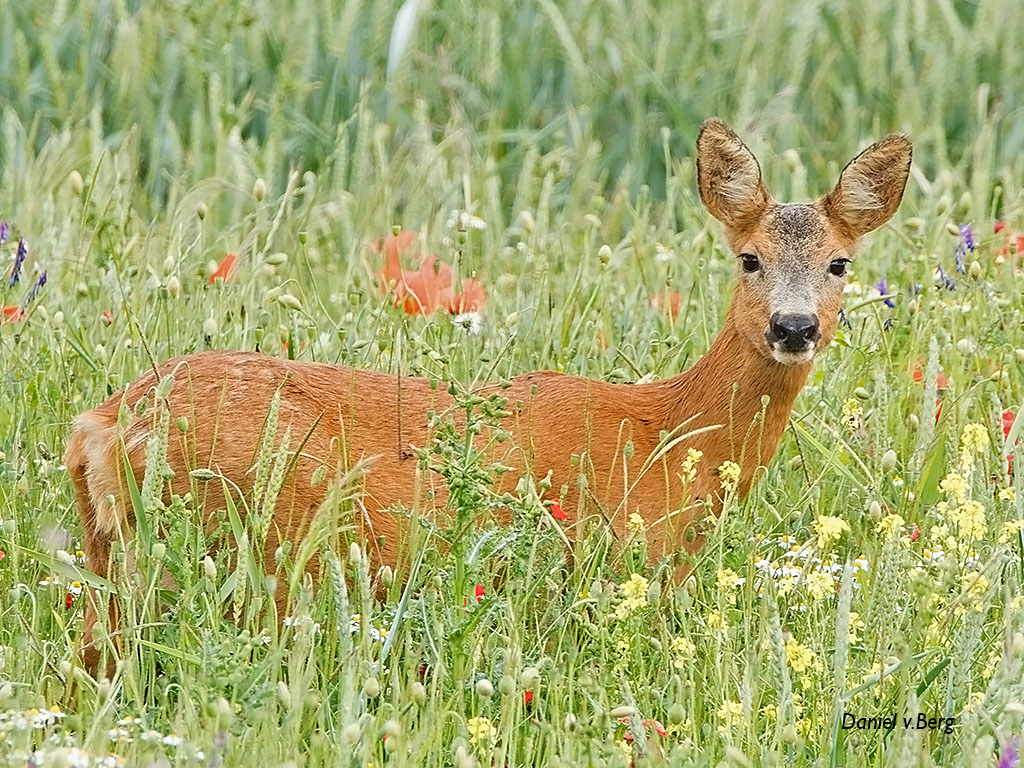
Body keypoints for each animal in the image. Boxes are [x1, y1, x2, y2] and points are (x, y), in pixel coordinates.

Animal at [64, 115, 913, 671]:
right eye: (748, 258)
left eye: (839, 263)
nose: (794, 326)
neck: (669, 433)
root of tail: (101, 424)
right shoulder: (601, 573)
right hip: (243, 547)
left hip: (121, 558)